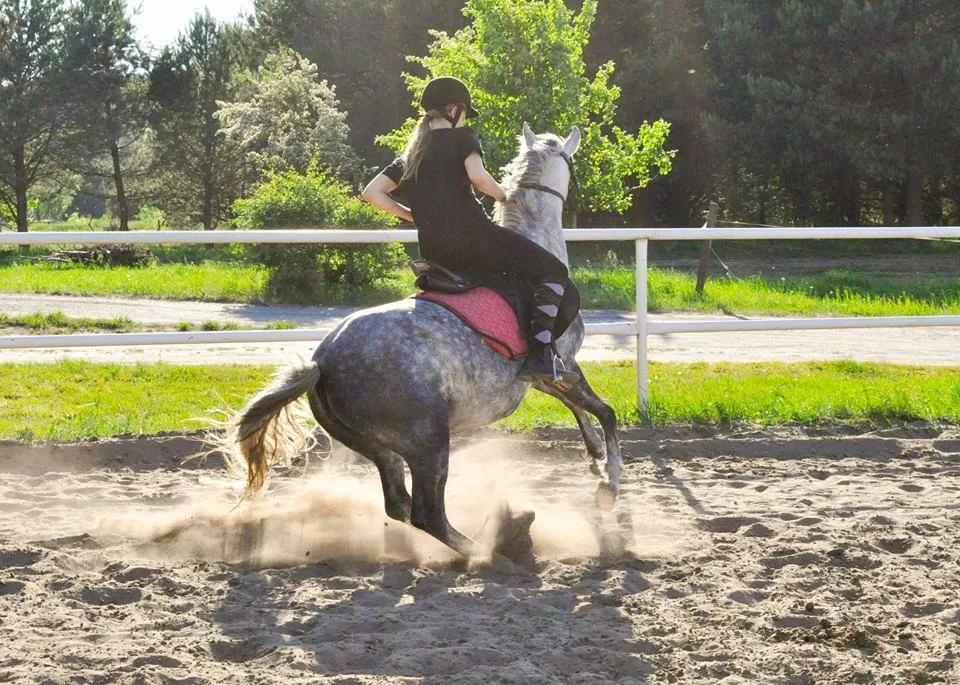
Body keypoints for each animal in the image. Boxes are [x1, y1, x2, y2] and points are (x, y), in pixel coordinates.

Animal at [223, 123, 632, 560]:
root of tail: (322, 362)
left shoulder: (542, 374)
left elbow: (580, 409)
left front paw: (595, 458)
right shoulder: (561, 362)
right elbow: (603, 411)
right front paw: (609, 482)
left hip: (379, 447)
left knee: (398, 504)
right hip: (428, 442)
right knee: (427, 512)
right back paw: (492, 549)